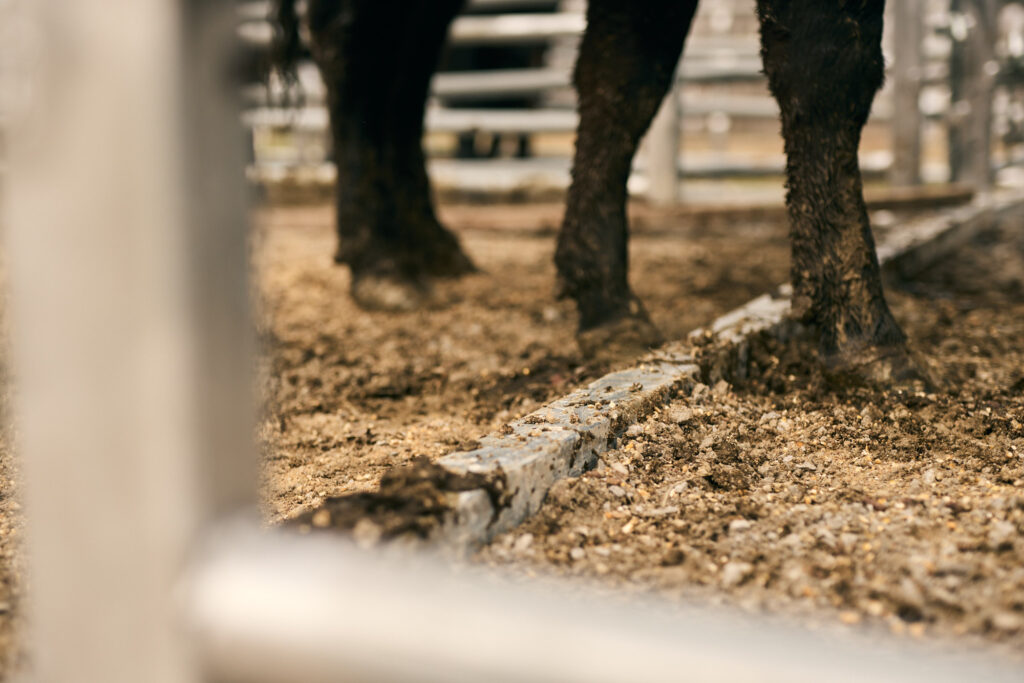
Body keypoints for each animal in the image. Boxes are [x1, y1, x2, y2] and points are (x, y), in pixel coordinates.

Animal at [272, 0, 918, 383]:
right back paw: (380, 260)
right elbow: (831, 65)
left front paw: (602, 293)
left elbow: (622, 73)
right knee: (356, 51)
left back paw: (430, 243)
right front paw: (864, 331)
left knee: (406, 70)